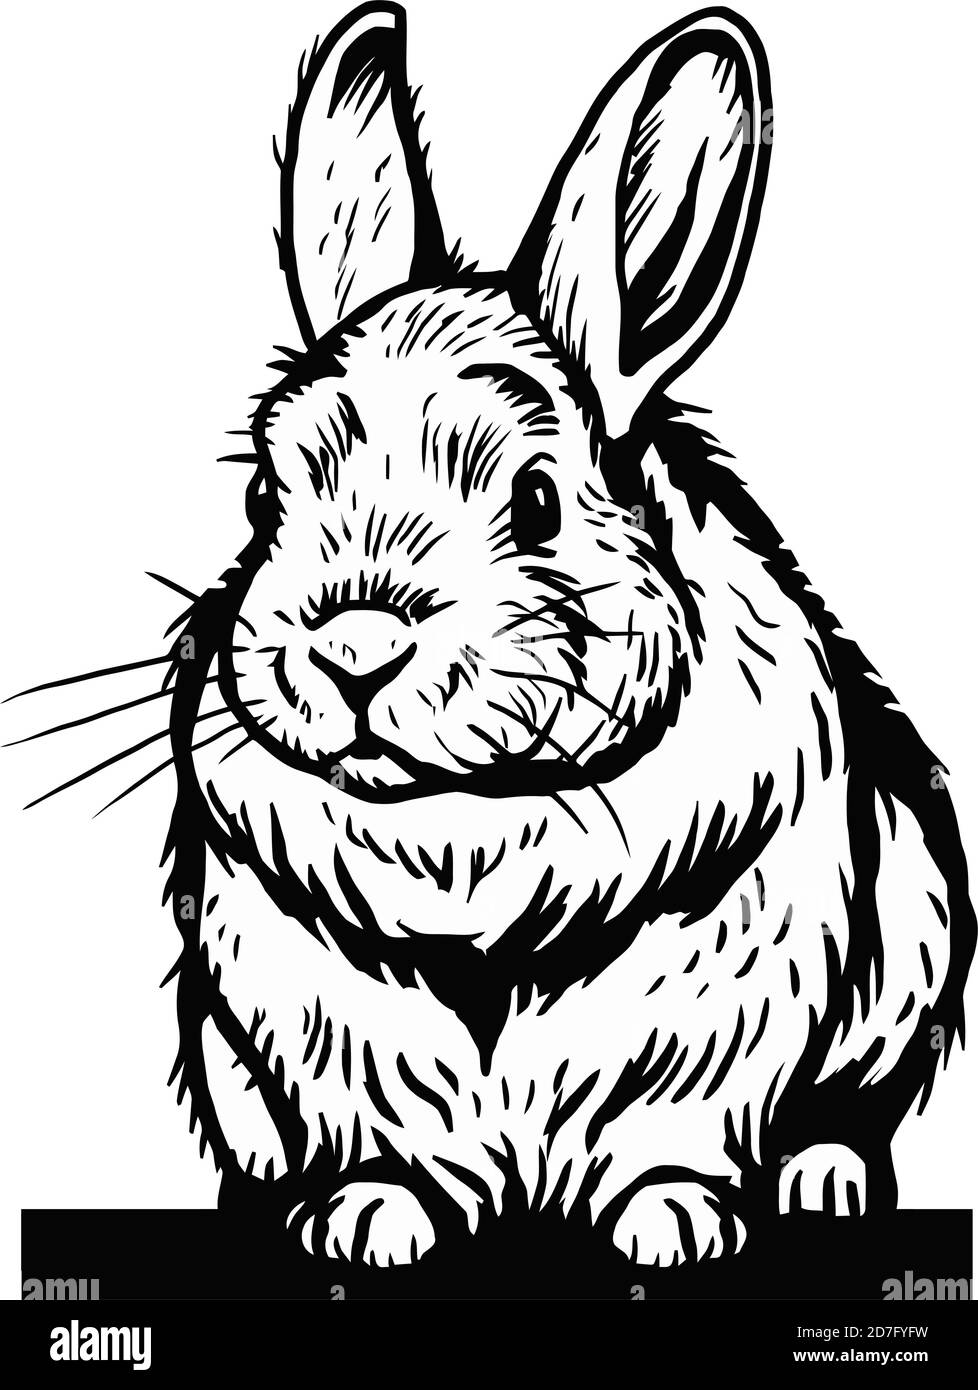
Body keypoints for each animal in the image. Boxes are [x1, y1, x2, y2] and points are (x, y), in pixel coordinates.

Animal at [161, 3, 975, 1268]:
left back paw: (824, 1181)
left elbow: (671, 1137)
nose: (354, 650)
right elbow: (375, 1142)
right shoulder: (311, 1028)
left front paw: (675, 1224)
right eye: (265, 495)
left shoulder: (722, 1023)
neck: (459, 820)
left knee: (848, 1107)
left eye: (538, 499)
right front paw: (367, 1222)